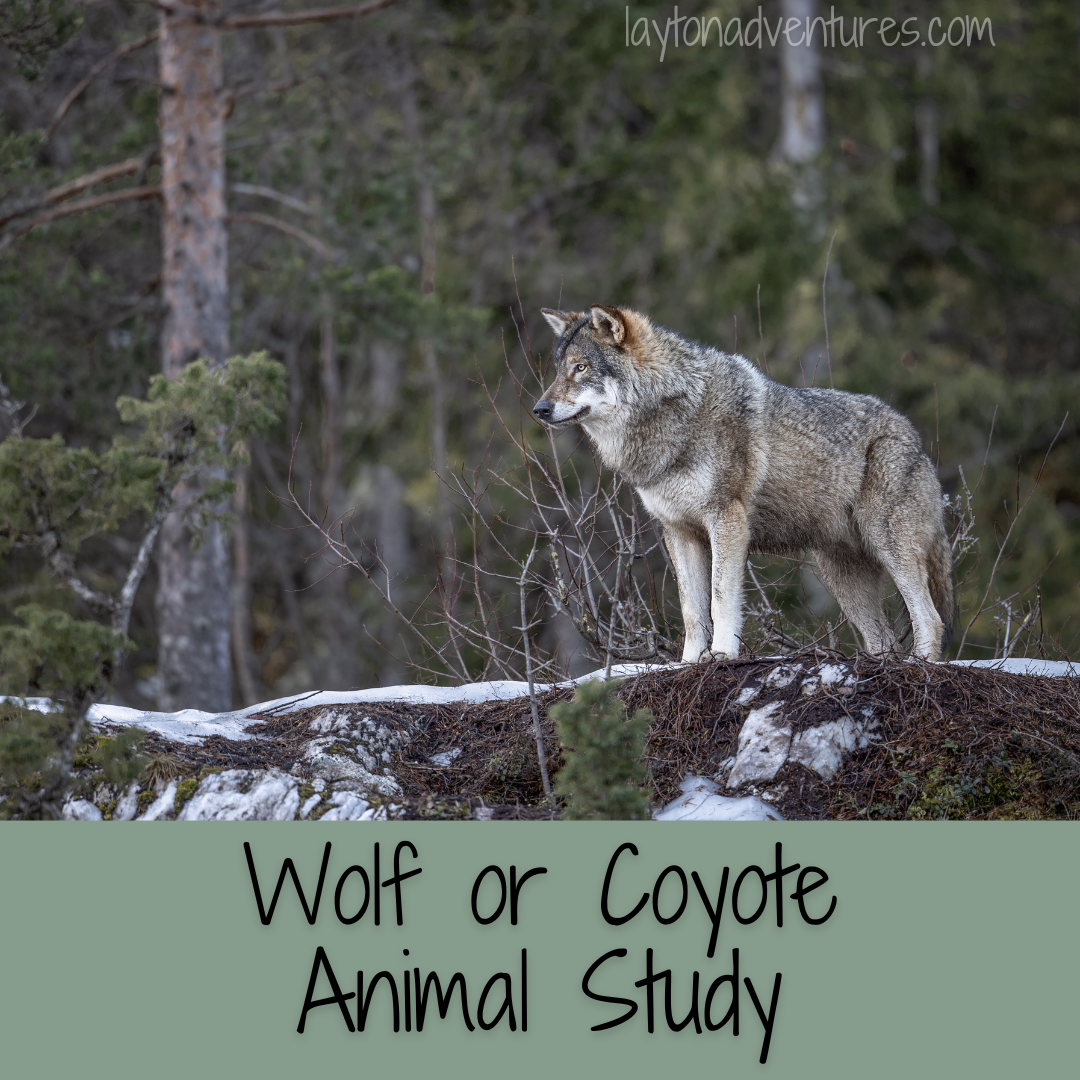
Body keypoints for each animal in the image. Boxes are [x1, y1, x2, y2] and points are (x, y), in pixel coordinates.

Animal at [532, 306, 956, 662]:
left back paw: (919, 666)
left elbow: (721, 599)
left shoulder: (726, 519)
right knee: (883, 640)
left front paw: (722, 655)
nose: (539, 409)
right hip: (843, 577)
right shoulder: (679, 531)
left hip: (887, 545)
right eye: (558, 371)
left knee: (930, 619)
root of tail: (913, 436)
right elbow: (692, 610)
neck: (675, 414)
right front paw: (690, 663)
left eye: (581, 368)